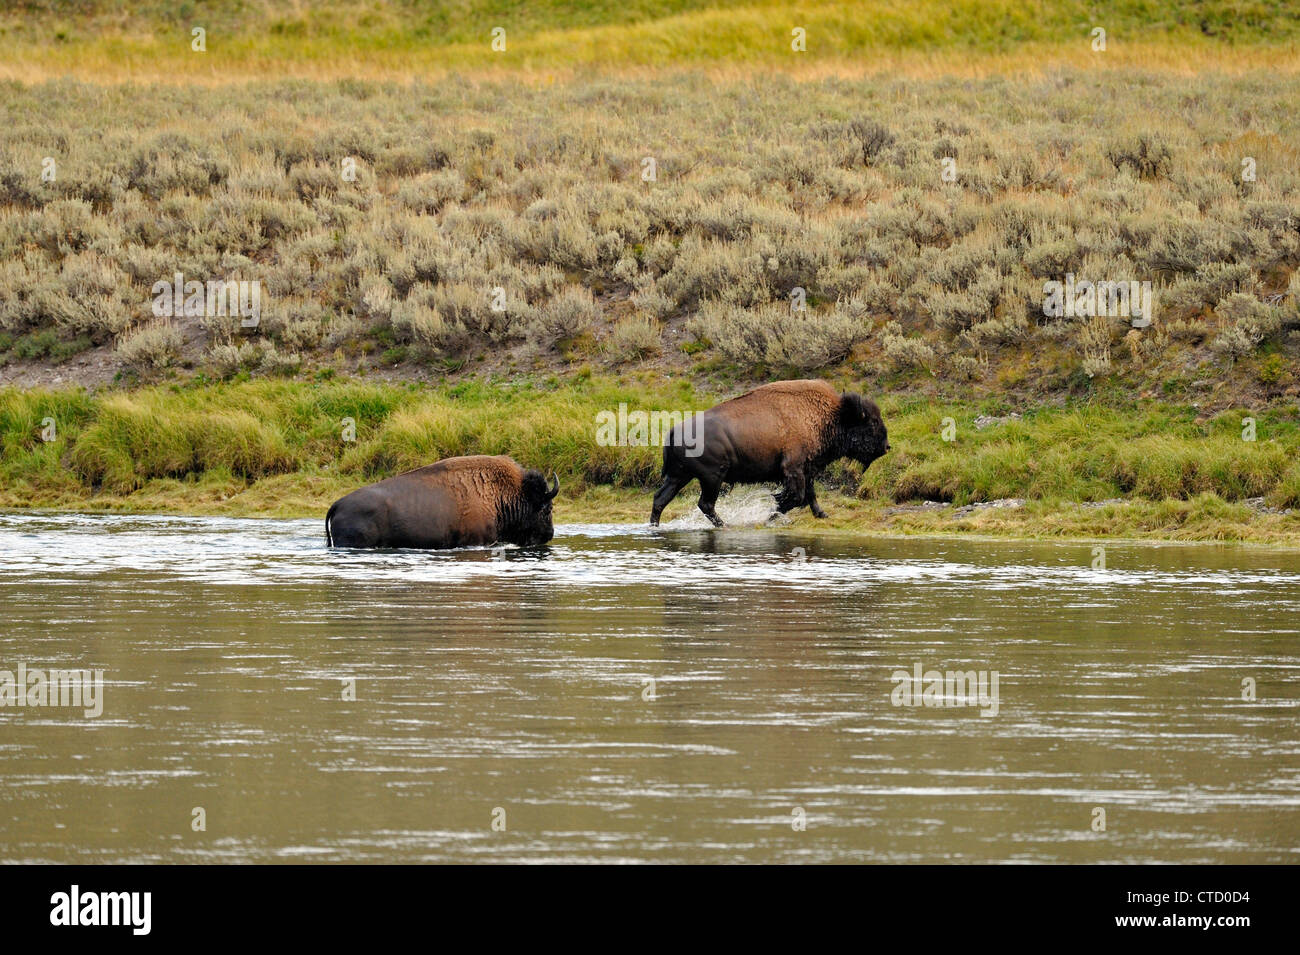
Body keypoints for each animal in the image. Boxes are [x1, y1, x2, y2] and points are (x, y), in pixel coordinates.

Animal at [649, 379, 889, 527]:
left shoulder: (807, 469)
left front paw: (822, 514)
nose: (887, 447)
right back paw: (725, 525)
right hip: (712, 478)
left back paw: (655, 527)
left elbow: (810, 495)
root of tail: (674, 430)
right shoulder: (794, 468)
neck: (832, 416)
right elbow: (795, 497)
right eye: (871, 423)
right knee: (705, 504)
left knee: (660, 499)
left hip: (679, 476)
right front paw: (769, 517)